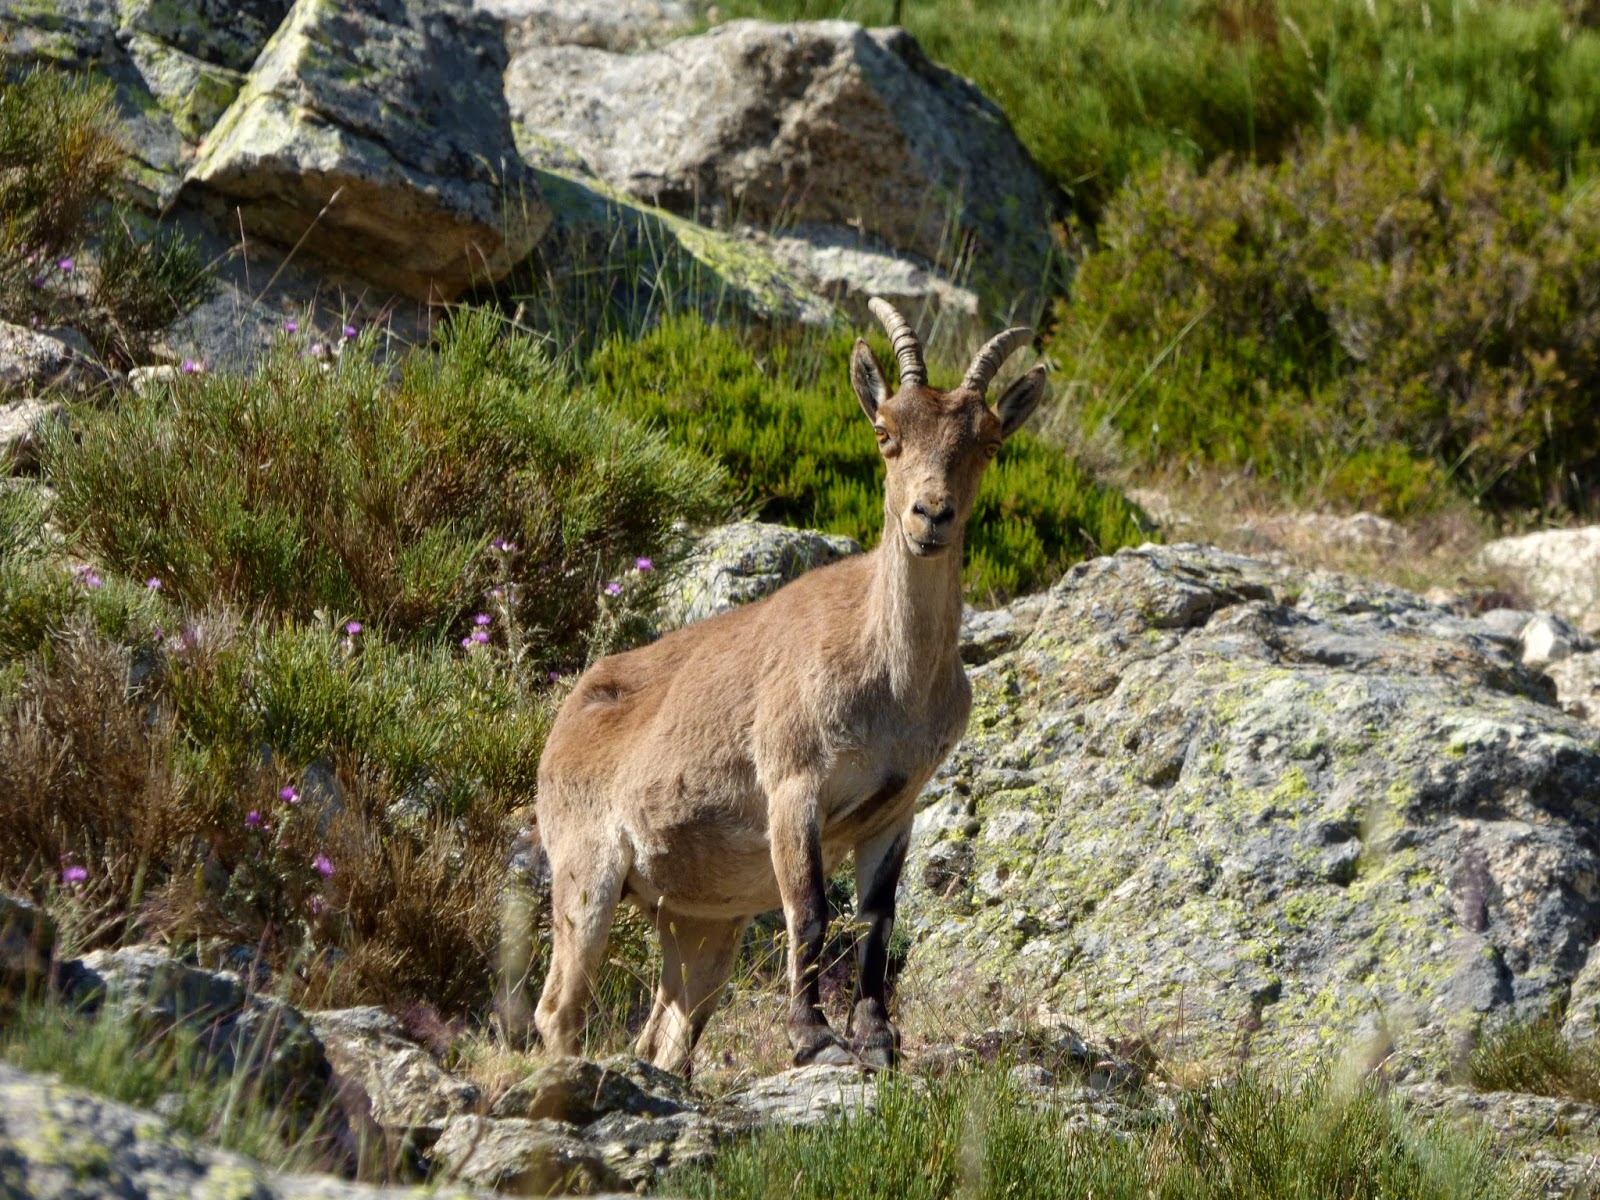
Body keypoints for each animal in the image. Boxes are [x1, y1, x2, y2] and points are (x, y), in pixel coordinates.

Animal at [532, 299, 1046, 1074]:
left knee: (668, 1029)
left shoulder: (896, 811)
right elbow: (809, 911)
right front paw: (813, 1038)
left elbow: (876, 921)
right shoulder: (793, 786)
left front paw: (877, 1037)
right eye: (885, 432)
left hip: (700, 916)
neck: (891, 683)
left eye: (987, 442)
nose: (931, 515)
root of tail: (565, 720)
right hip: (585, 869)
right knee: (559, 1007)